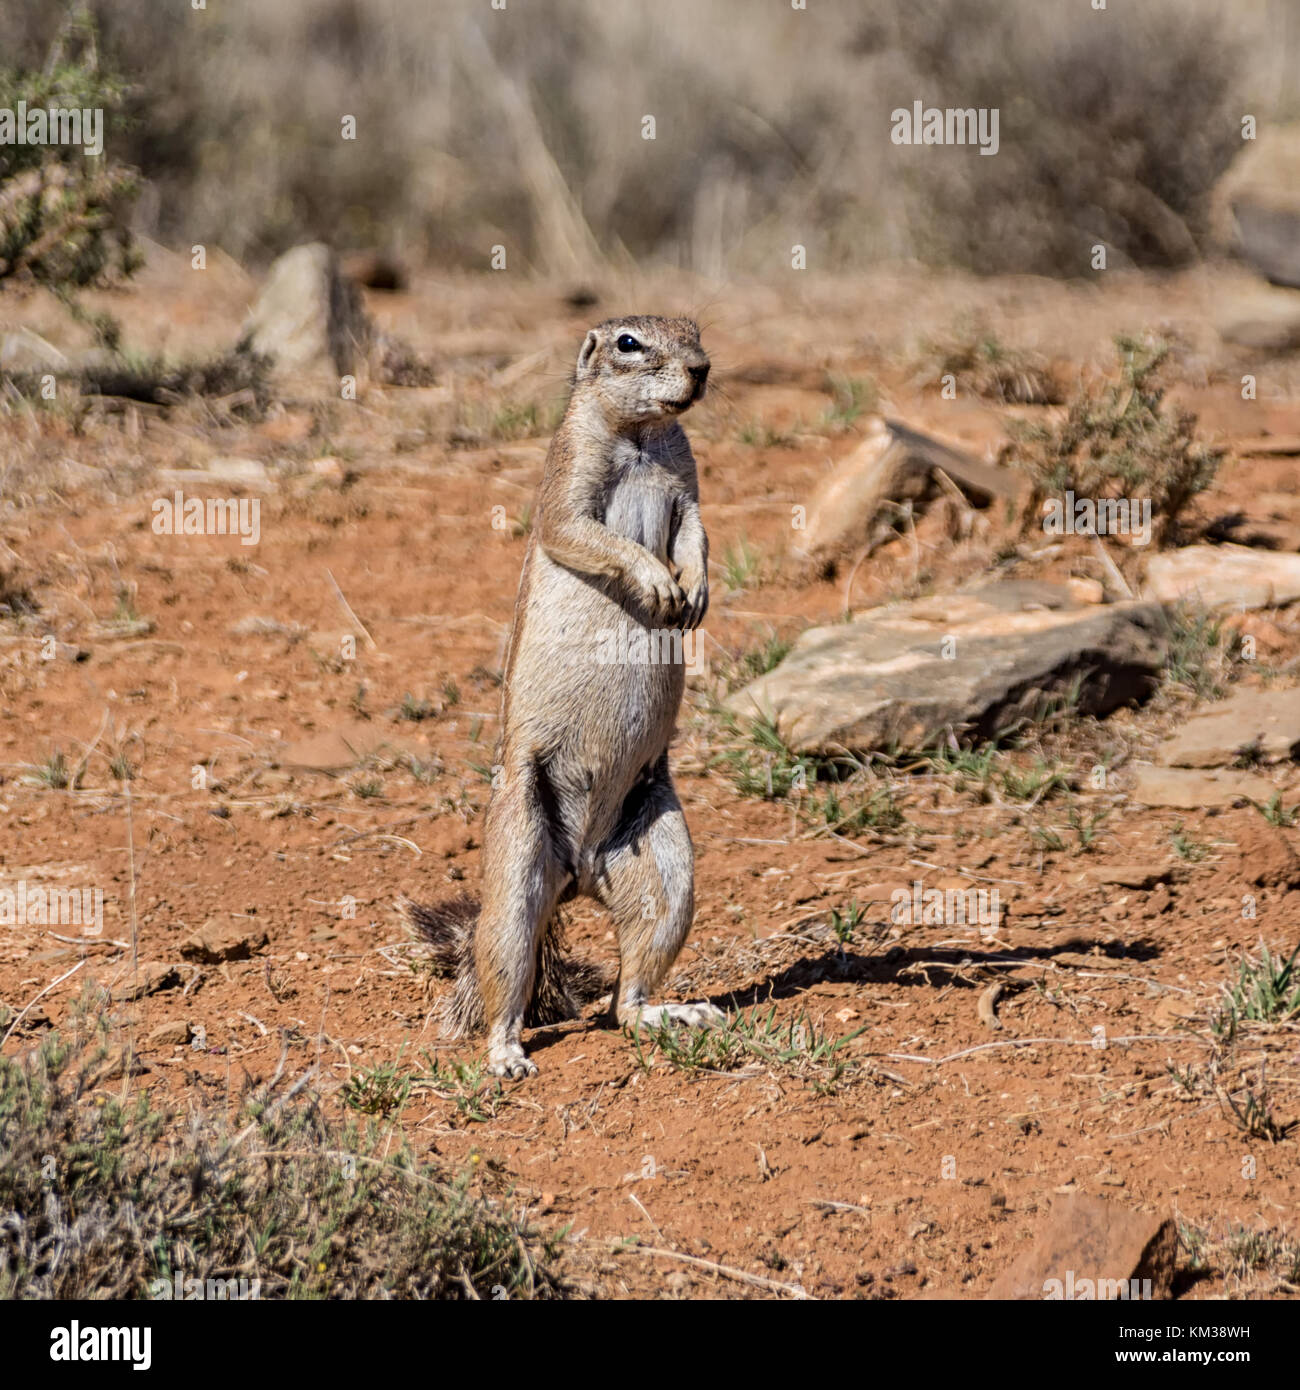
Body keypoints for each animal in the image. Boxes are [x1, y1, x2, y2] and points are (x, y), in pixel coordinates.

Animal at [406, 316, 724, 1077]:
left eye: (695, 330)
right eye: (630, 343)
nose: (701, 369)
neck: (641, 435)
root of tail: (576, 876)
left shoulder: (690, 486)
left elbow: (698, 533)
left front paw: (696, 590)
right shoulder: (568, 478)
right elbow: (582, 530)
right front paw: (659, 583)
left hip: (668, 869)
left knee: (625, 999)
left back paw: (672, 1012)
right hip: (517, 859)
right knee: (506, 965)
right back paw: (506, 1054)